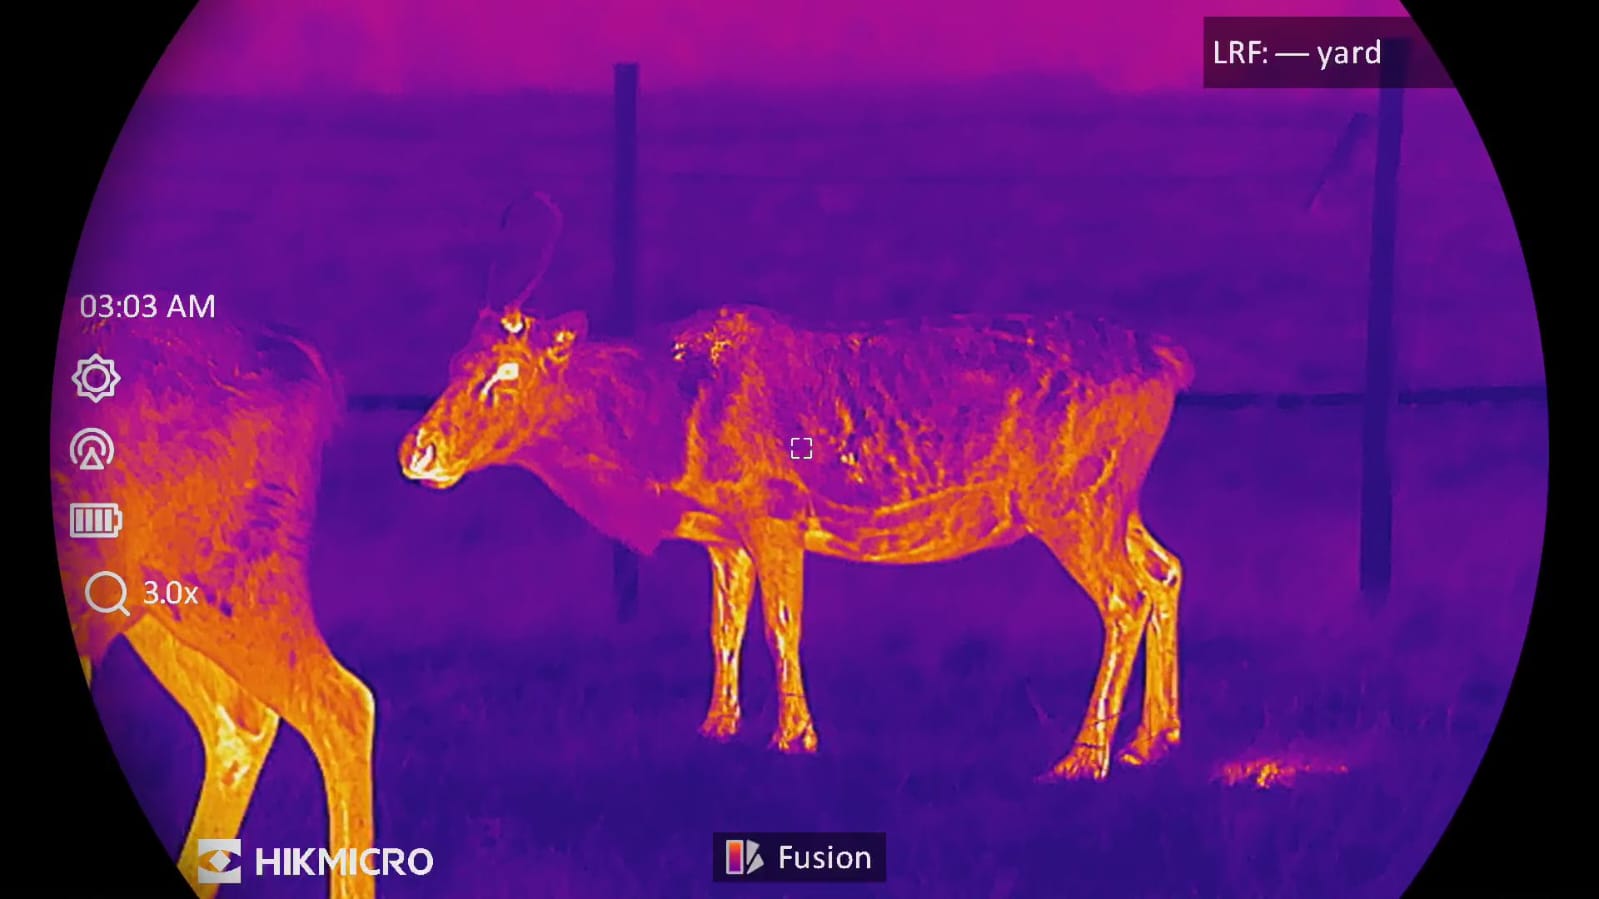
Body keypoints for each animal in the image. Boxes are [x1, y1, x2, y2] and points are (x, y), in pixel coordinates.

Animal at [399, 195, 1193, 781]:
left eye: (505, 375)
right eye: (454, 359)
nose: (417, 449)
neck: (656, 440)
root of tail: (1167, 361)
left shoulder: (773, 510)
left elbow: (783, 625)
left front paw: (794, 737)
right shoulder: (723, 536)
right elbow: (722, 627)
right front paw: (717, 727)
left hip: (1068, 498)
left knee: (1123, 596)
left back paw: (1082, 759)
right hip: (1115, 497)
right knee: (1164, 571)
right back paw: (1152, 741)